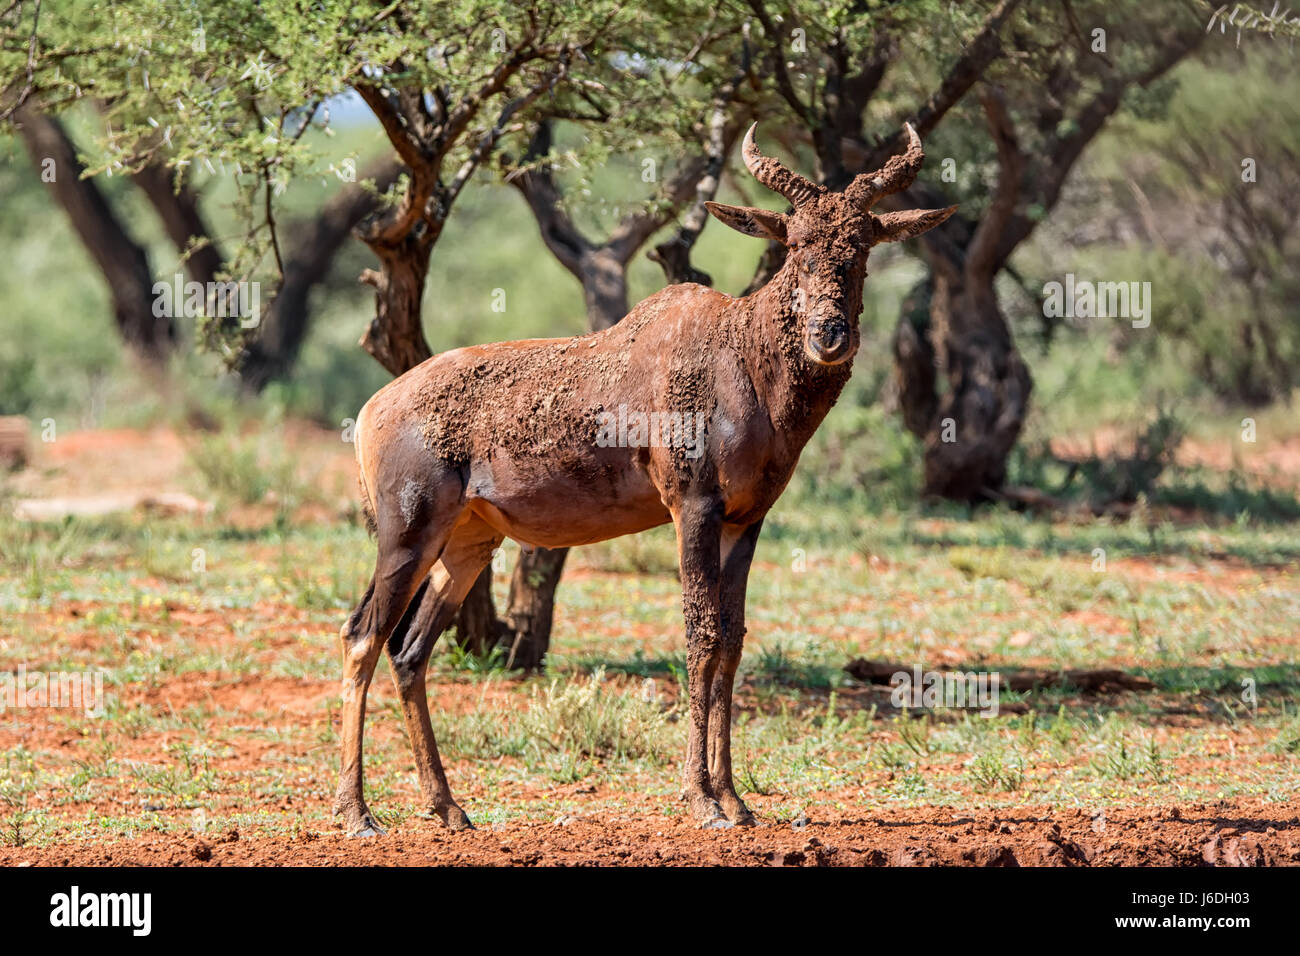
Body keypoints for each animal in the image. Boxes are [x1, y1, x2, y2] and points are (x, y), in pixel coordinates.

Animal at [336, 124, 956, 835]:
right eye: (795, 243)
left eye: (862, 243)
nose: (830, 337)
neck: (733, 349)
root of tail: (374, 407)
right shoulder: (693, 507)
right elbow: (701, 634)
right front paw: (702, 800)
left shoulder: (745, 521)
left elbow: (732, 640)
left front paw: (736, 800)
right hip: (406, 535)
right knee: (362, 636)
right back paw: (357, 813)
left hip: (467, 543)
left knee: (410, 651)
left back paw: (448, 808)